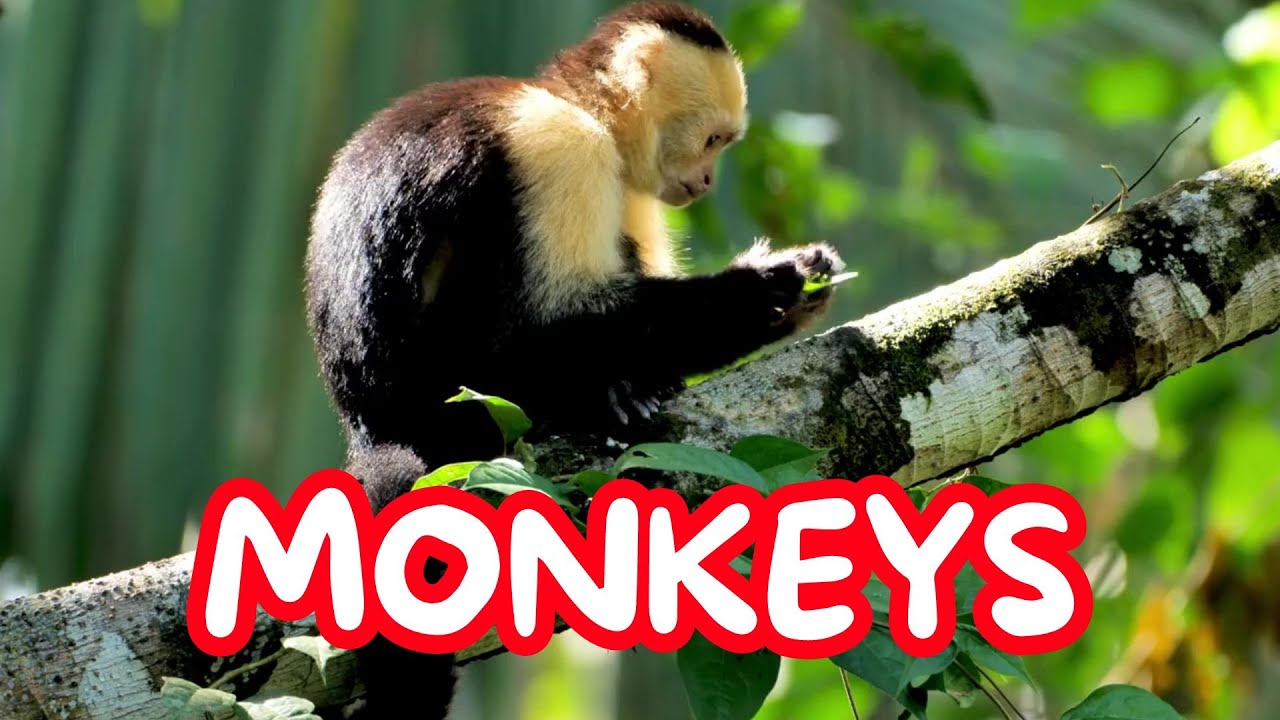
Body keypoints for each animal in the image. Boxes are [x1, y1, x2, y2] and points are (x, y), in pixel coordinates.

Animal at [302, 3, 843, 717]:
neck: (574, 103)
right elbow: (544, 325)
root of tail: (372, 420)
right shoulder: (560, 147)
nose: (704, 184)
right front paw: (771, 289)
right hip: (456, 402)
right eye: (713, 142)